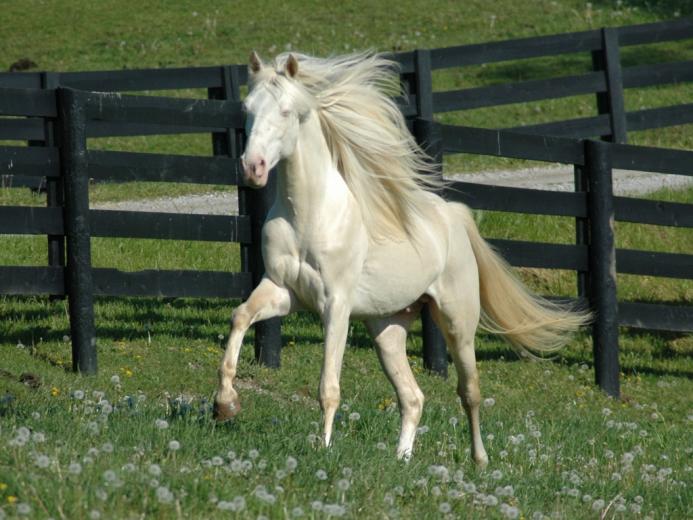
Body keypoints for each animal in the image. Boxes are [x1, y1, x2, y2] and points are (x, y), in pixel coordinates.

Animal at [213, 51, 590, 465]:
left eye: (286, 111)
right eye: (248, 109)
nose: (253, 168)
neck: (310, 216)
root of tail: (454, 217)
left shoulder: (336, 306)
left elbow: (329, 385)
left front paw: (323, 447)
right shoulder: (283, 291)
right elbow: (240, 317)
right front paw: (224, 405)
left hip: (457, 323)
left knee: (469, 392)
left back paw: (479, 460)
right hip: (387, 329)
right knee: (413, 397)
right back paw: (401, 459)